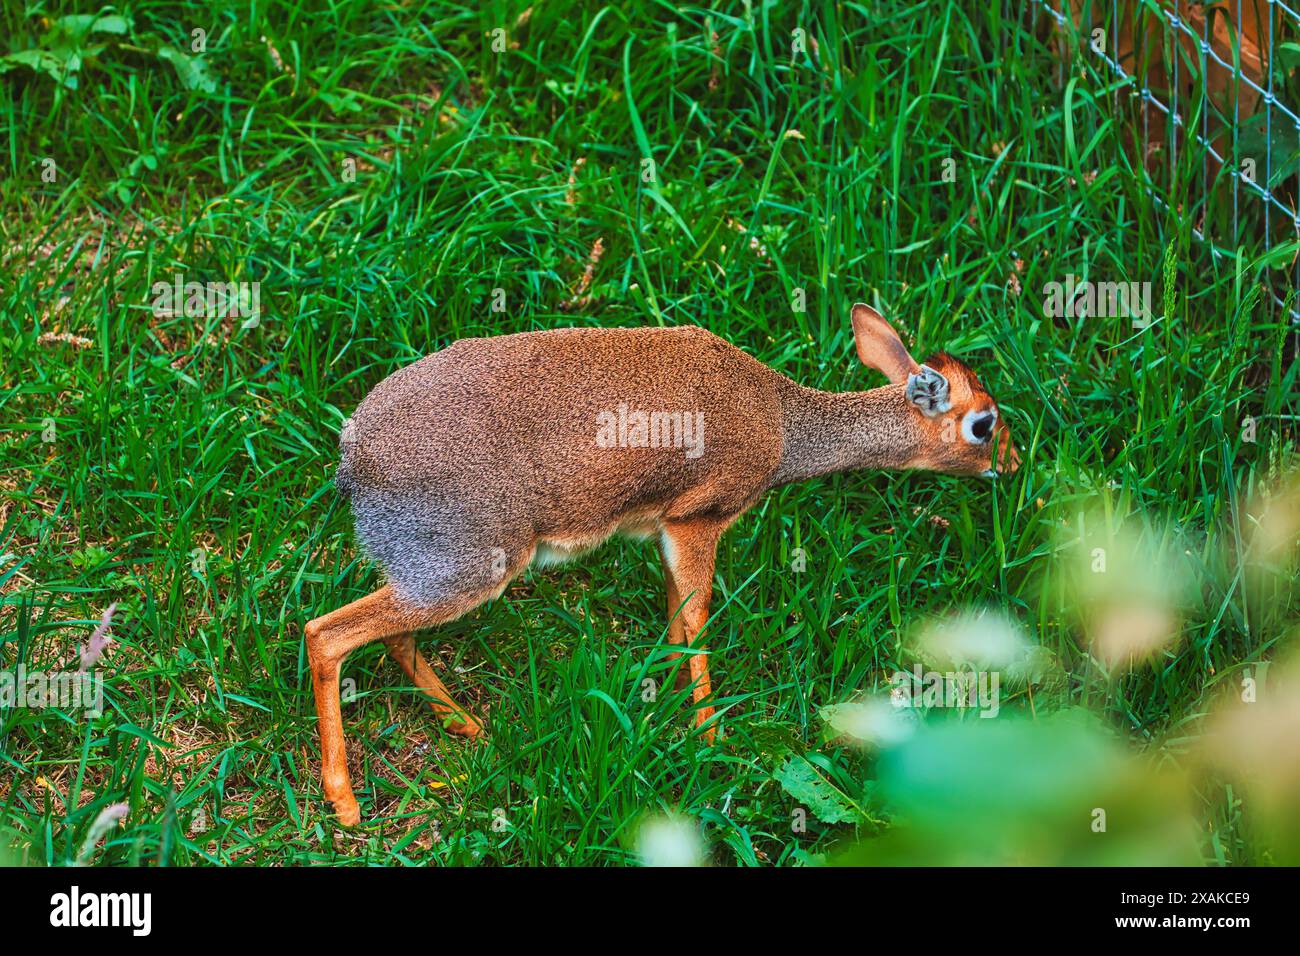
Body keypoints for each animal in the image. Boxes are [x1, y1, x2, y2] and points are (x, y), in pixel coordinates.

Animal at [306, 304, 1020, 825]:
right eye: (983, 424)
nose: (1012, 463)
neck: (783, 424)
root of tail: (352, 460)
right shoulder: (698, 521)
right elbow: (698, 618)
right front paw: (710, 736)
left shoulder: (664, 533)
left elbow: (677, 616)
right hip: (468, 568)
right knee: (325, 633)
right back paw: (345, 803)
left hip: (425, 569)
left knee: (391, 635)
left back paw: (470, 726)